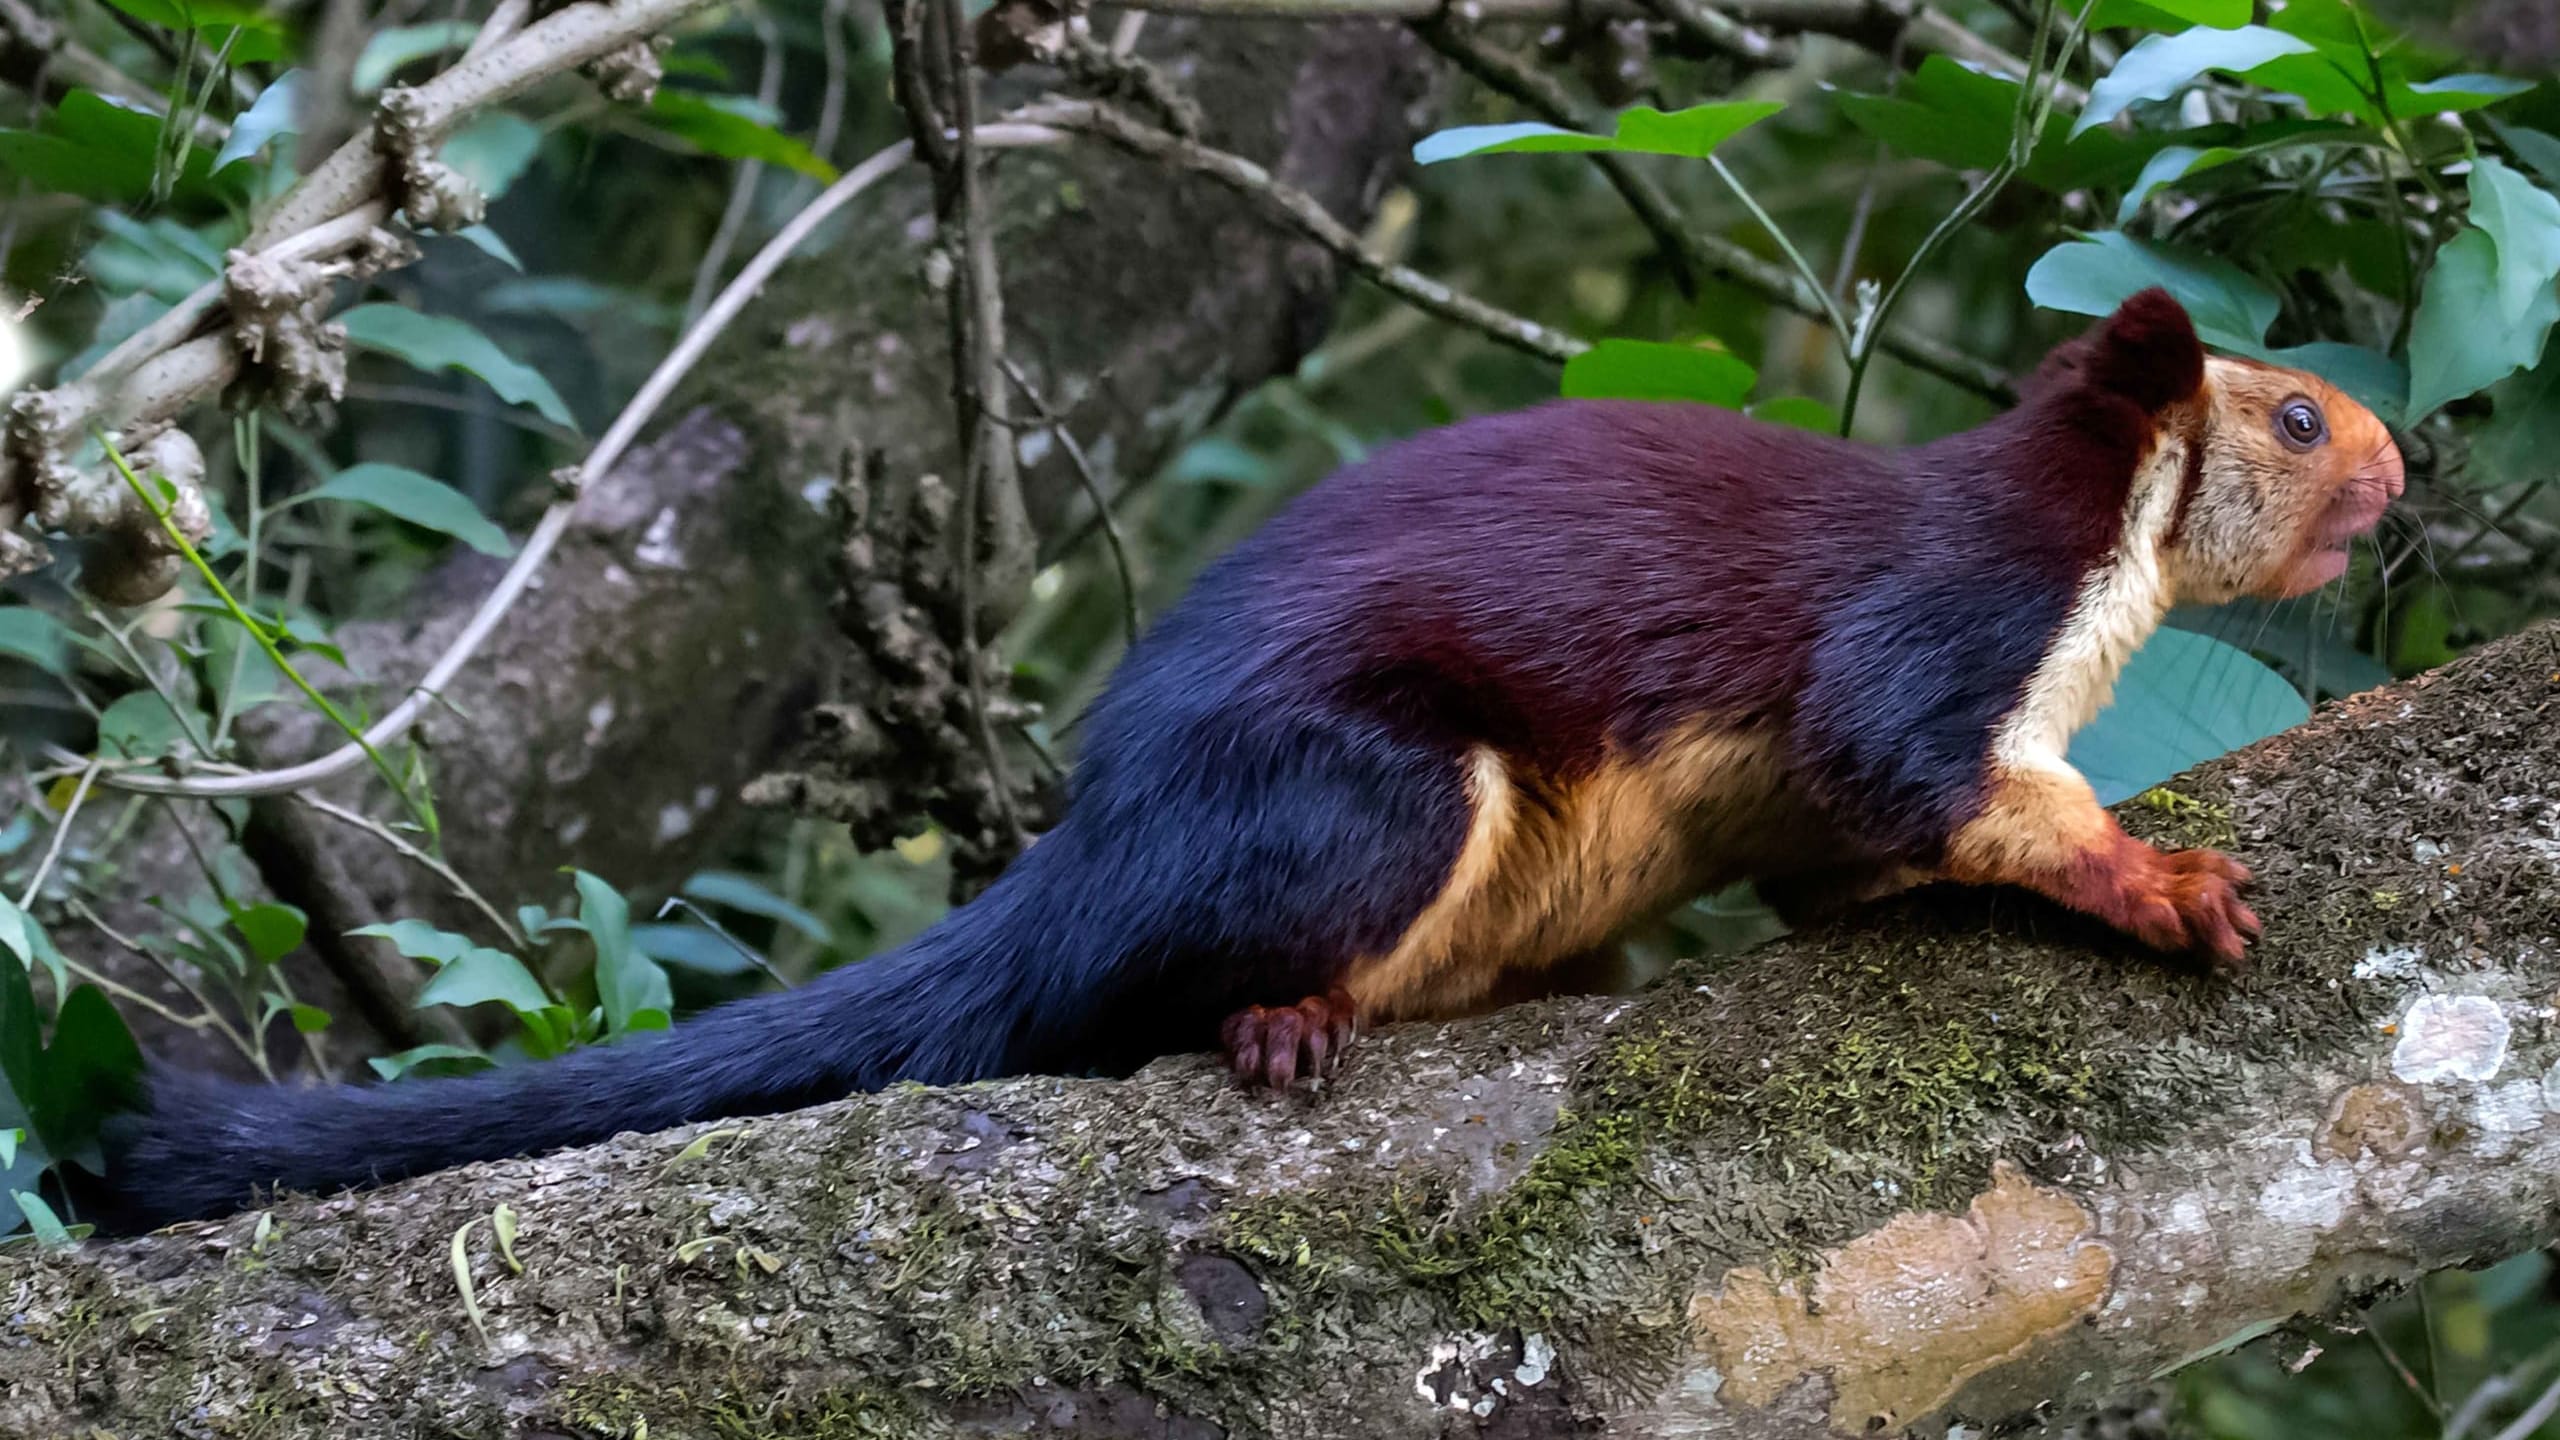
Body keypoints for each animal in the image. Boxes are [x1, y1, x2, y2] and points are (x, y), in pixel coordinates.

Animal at [86, 289, 2403, 1229]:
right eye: (2292, 413)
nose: (2405, 468)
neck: (2093, 588)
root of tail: (1094, 841)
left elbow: (1854, 862)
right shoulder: (1934, 627)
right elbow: (1933, 777)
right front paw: (2162, 883)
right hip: (1370, 796)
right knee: (1154, 980)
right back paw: (1274, 1019)